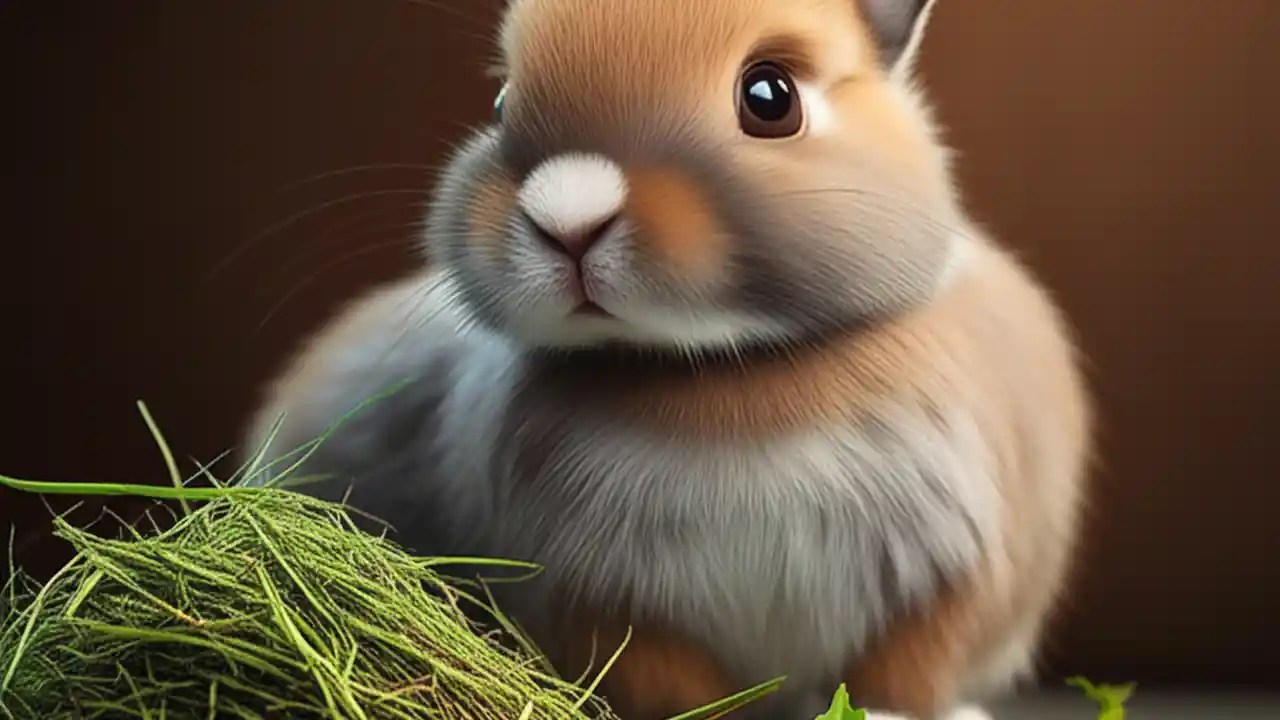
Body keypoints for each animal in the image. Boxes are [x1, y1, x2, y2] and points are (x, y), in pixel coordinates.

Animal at [244, 0, 1092, 718]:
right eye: (502, 103)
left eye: (771, 98)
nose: (568, 219)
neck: (725, 373)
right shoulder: (595, 599)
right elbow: (669, 682)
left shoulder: (951, 575)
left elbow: (905, 671)